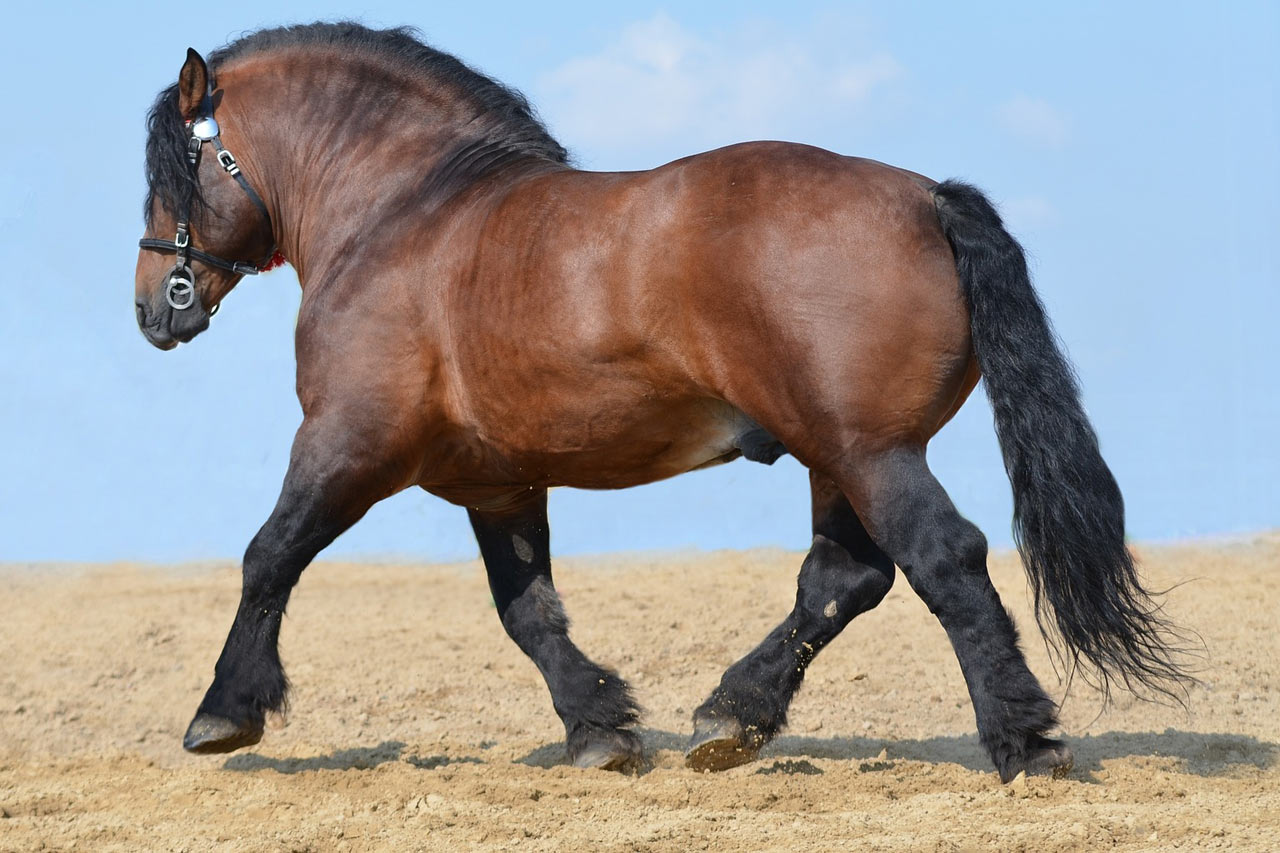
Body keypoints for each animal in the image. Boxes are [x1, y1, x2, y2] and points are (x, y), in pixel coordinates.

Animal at [134, 23, 1187, 782]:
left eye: (166, 170)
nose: (154, 309)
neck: (408, 214)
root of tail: (928, 197)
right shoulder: (496, 482)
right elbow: (529, 612)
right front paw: (600, 727)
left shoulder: (351, 442)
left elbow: (270, 555)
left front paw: (223, 712)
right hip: (838, 456)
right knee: (843, 578)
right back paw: (730, 716)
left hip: (871, 450)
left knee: (945, 561)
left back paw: (1025, 740)